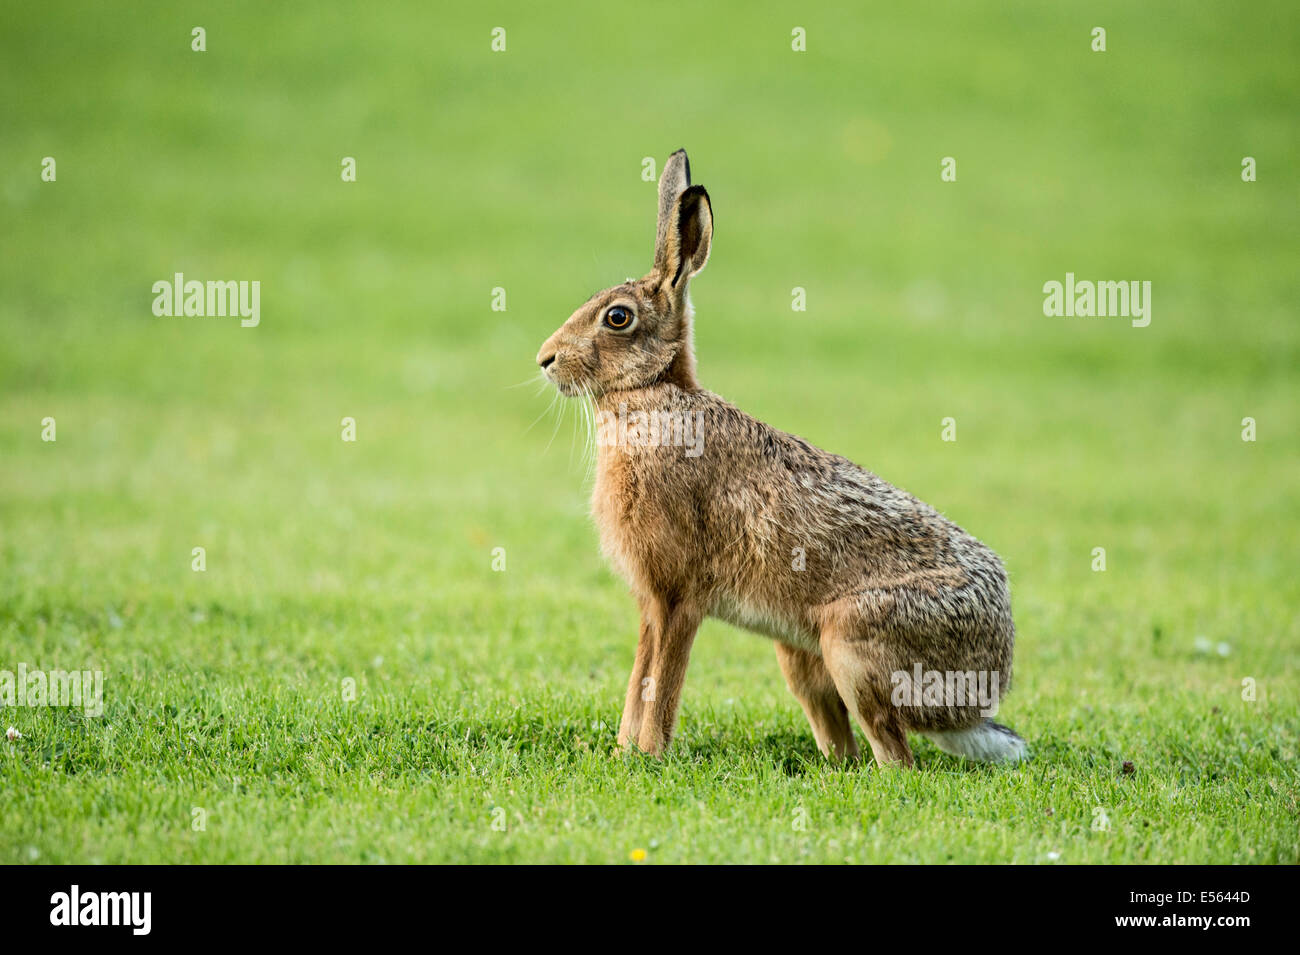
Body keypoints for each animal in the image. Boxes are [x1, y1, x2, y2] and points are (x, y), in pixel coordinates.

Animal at [536, 149, 1026, 767]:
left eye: (617, 317)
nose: (545, 359)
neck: (653, 393)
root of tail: (984, 690)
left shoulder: (676, 598)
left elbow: (660, 684)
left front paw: (647, 756)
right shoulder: (651, 603)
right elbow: (638, 680)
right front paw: (625, 753)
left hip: (853, 642)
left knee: (896, 759)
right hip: (798, 655)